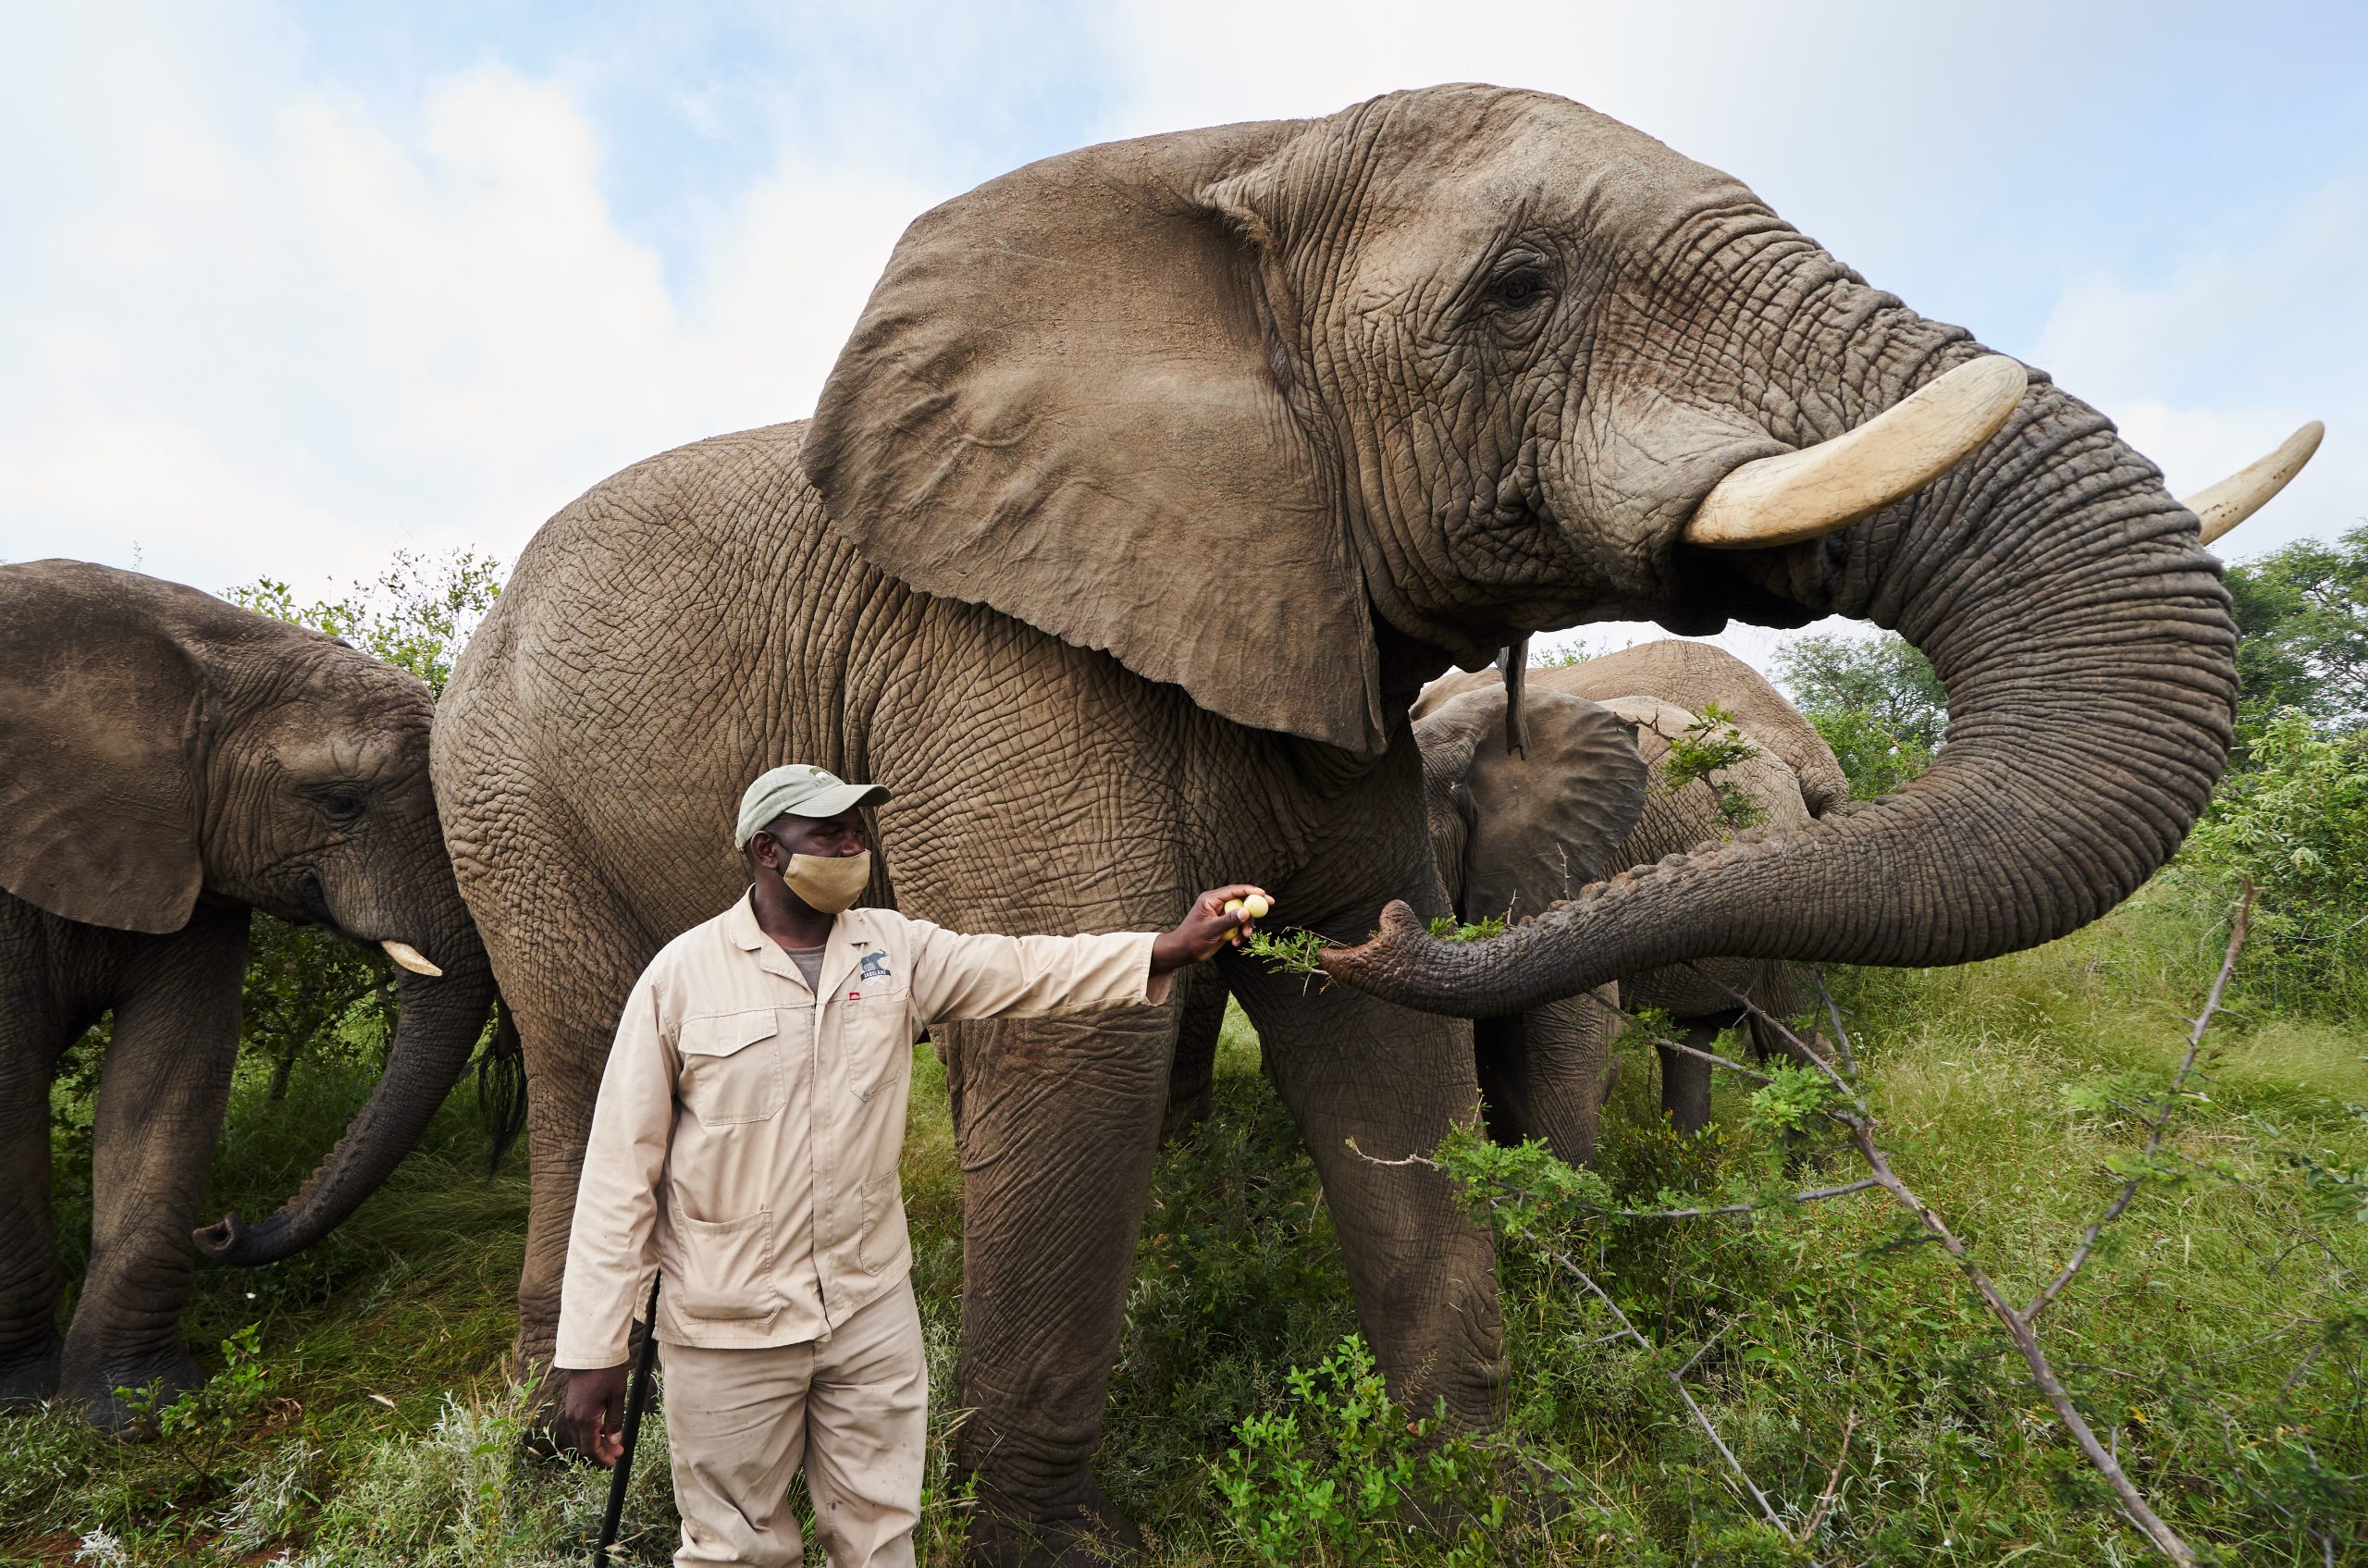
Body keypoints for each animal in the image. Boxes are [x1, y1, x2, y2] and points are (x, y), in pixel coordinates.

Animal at [0, 561, 499, 1426]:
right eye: (341, 801)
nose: (222, 1228)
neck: (203, 665)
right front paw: (23, 1397)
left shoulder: (188, 850)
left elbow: (169, 1072)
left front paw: (133, 1409)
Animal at [208, 83, 2312, 1562]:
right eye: (1520, 290)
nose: (1351, 923)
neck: (1241, 162)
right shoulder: (998, 652)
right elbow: (1082, 1047)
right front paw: (1054, 1548)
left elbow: (1382, 1076)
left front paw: (1478, 1496)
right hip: (498, 782)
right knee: (584, 1050)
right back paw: (541, 1445)